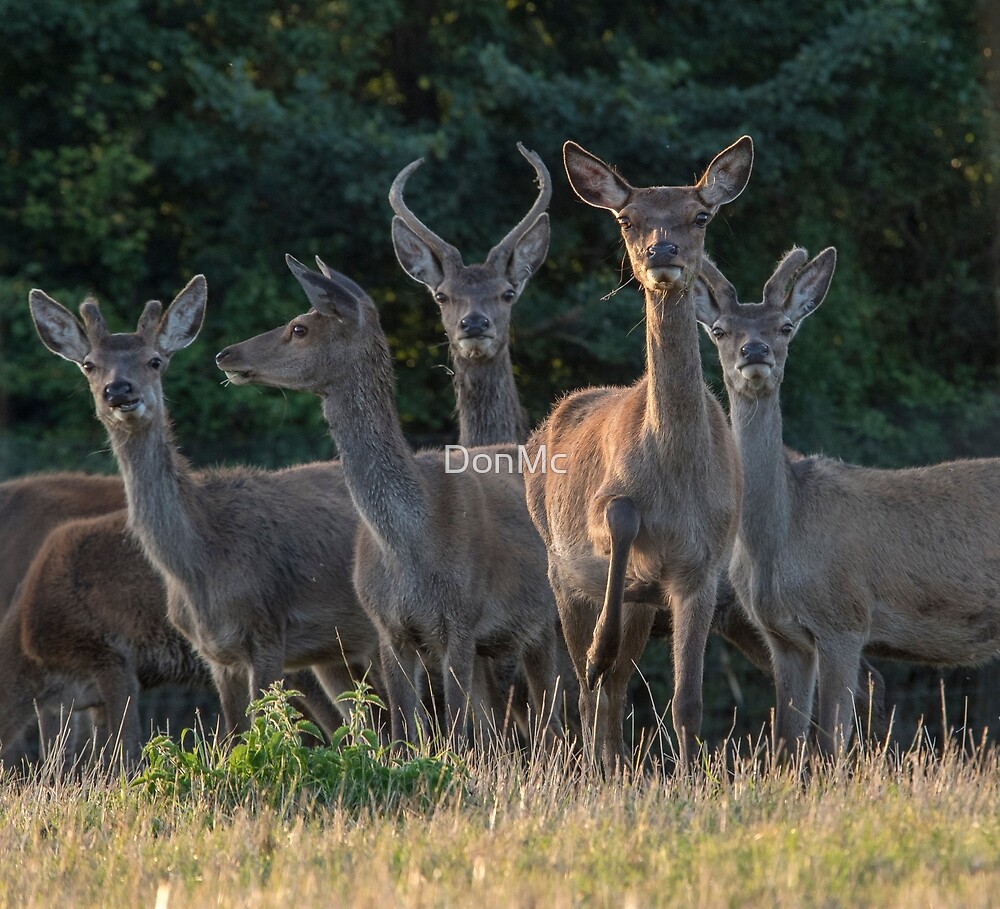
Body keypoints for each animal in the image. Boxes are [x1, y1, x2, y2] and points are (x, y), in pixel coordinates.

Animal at [29, 277, 381, 739]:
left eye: (155, 360)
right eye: (89, 364)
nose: (119, 391)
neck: (201, 562)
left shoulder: (267, 631)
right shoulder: (216, 654)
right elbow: (235, 736)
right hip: (337, 650)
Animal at [215, 255, 565, 746]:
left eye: (299, 327)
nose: (225, 354)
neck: (408, 542)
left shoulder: (460, 621)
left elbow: (454, 735)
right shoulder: (389, 629)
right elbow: (405, 732)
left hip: (551, 617)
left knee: (559, 720)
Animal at [522, 138, 753, 771]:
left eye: (701, 215)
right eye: (628, 219)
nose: (662, 250)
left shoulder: (701, 570)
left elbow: (688, 700)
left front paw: (693, 777)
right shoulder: (603, 529)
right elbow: (622, 516)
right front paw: (596, 654)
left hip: (644, 604)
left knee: (618, 688)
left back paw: (612, 764)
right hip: (559, 571)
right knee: (586, 687)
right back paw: (592, 752)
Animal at [694, 245, 1000, 758]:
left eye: (785, 326)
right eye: (720, 330)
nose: (754, 352)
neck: (776, 543)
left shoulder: (844, 620)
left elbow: (832, 740)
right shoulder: (781, 635)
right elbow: (788, 740)